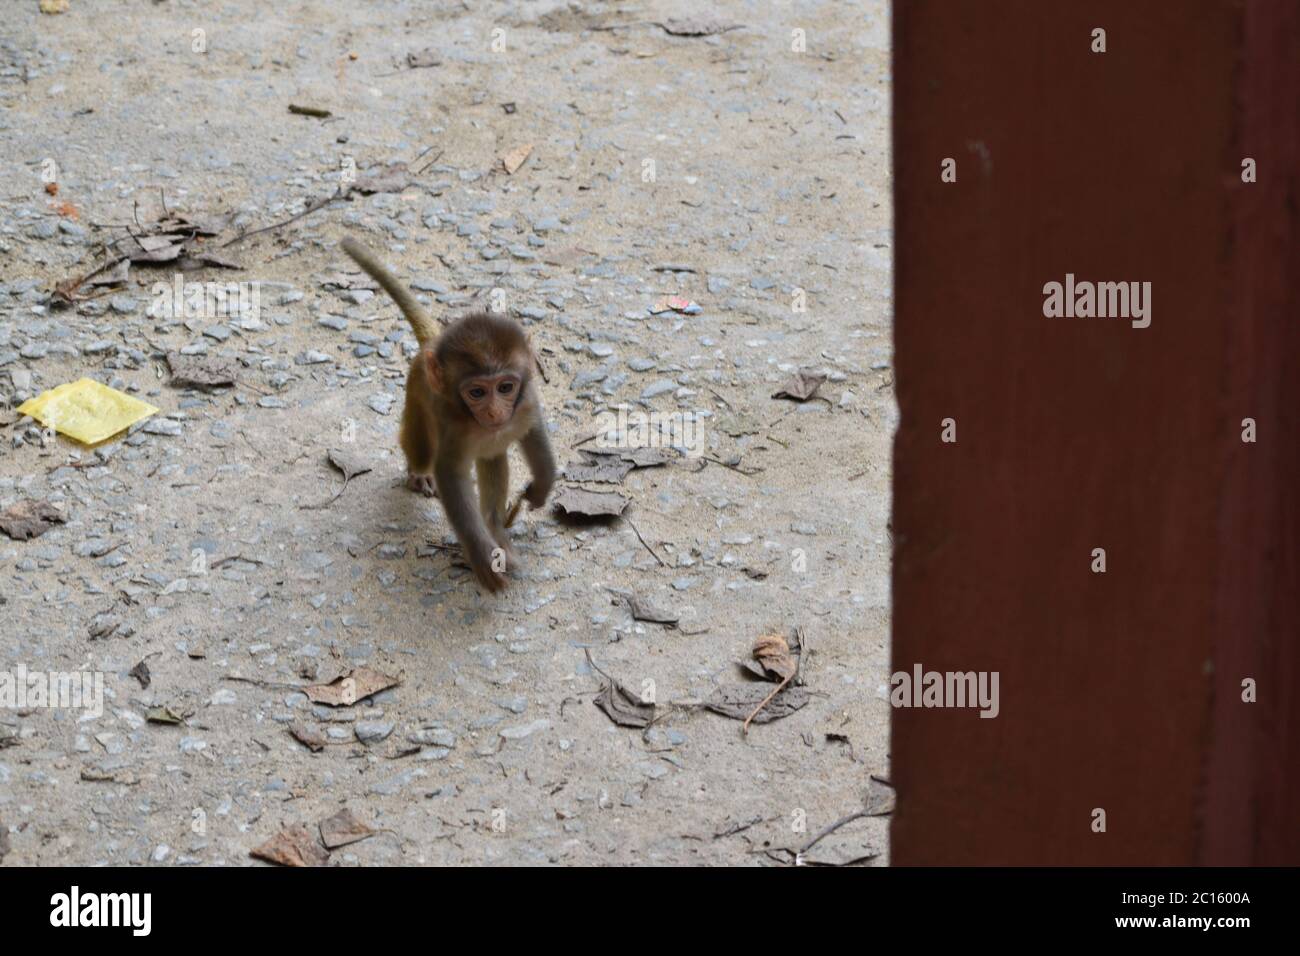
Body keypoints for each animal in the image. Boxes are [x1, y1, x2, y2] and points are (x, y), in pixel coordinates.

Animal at [340, 237, 557, 593]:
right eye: (477, 393)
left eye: (506, 387)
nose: (495, 411)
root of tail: (432, 343)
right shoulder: (455, 426)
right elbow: (450, 474)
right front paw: (482, 556)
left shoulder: (524, 404)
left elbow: (533, 432)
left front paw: (542, 486)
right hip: (416, 391)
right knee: (422, 447)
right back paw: (419, 473)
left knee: (492, 455)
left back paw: (495, 528)